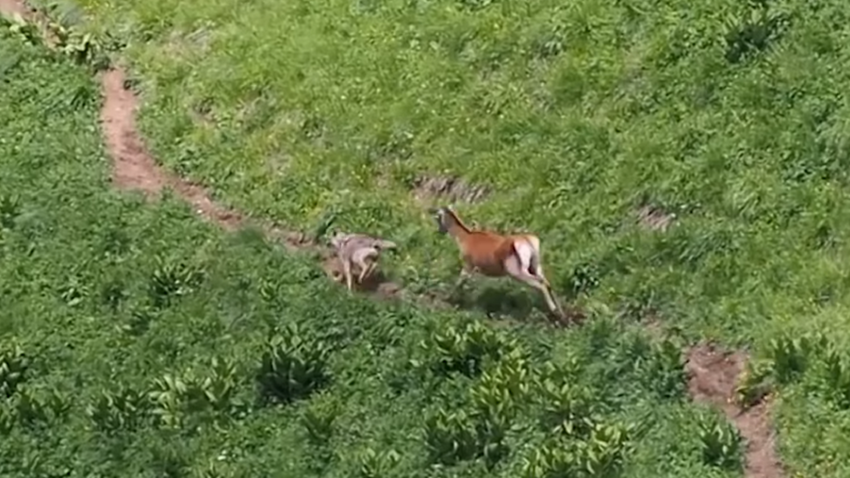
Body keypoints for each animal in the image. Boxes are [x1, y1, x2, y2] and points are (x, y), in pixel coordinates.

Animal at [427, 205, 565, 319]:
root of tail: (529, 242)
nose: (440, 231)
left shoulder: (468, 264)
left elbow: (460, 282)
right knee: (547, 283)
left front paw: (447, 299)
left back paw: (554, 310)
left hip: (516, 270)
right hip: (536, 265)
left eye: (437, 218)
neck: (463, 238)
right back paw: (562, 314)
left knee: (541, 284)